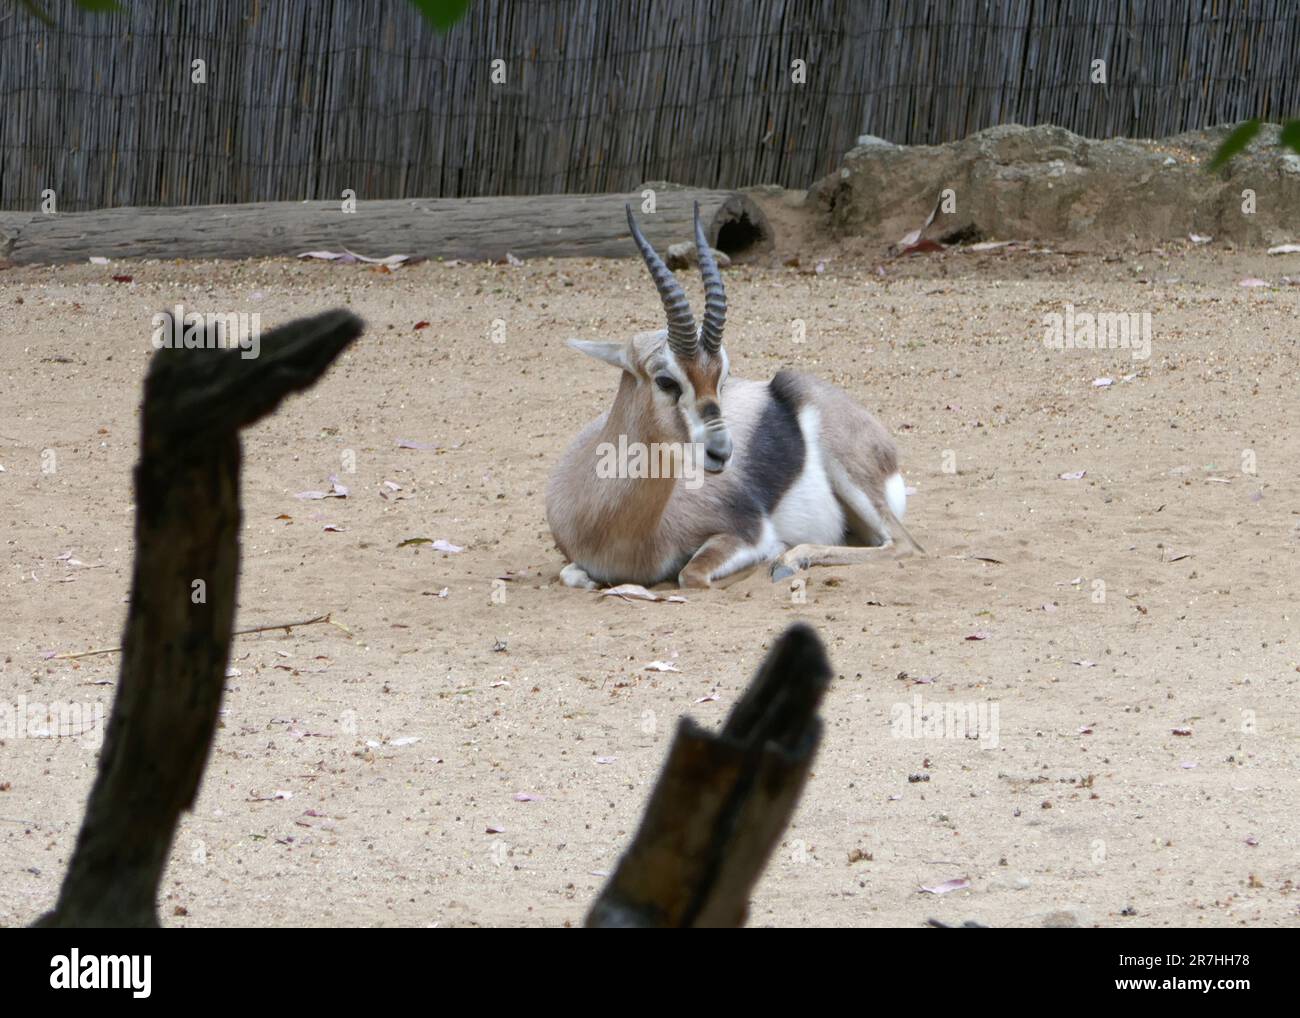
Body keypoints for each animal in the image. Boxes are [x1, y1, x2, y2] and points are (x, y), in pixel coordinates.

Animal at [546, 203, 920, 590]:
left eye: (721, 379)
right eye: (665, 380)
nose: (722, 452)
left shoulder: (747, 534)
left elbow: (691, 574)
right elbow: (571, 574)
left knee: (905, 545)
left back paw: (789, 561)